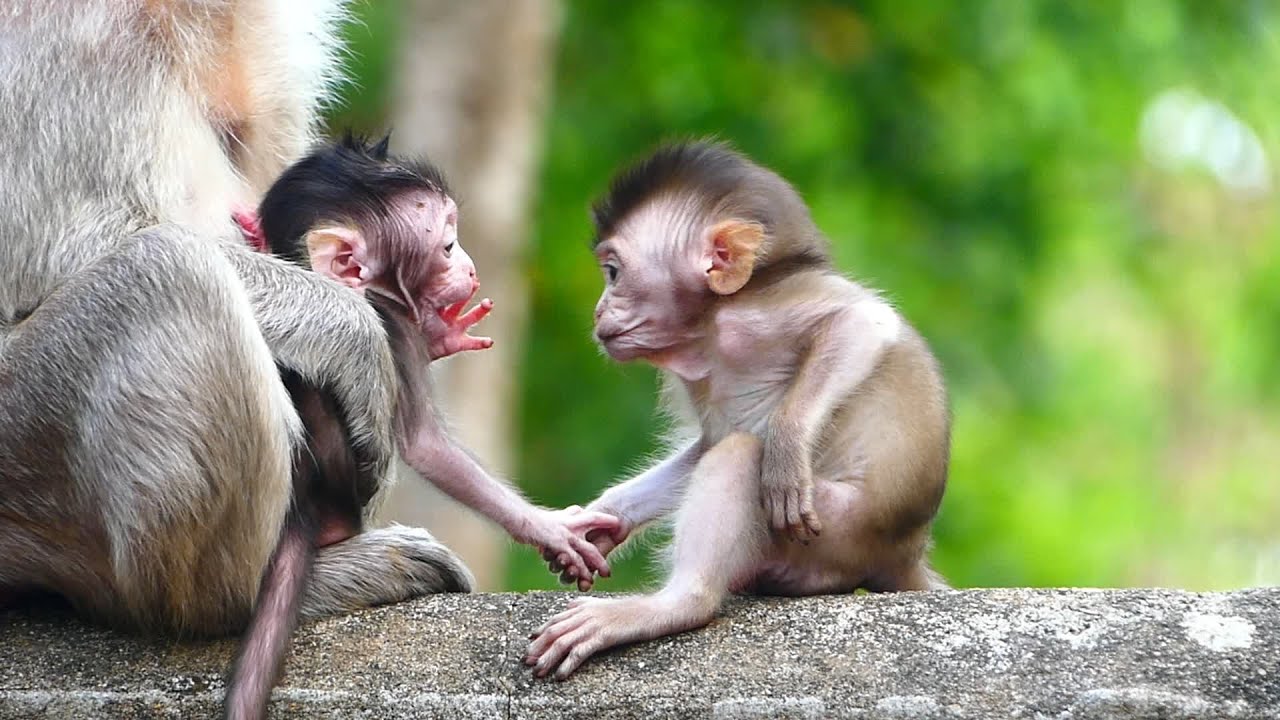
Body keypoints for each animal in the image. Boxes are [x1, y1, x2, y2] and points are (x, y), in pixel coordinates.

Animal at [0, 0, 473, 704]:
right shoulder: (67, 38)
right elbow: (69, 249)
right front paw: (361, 340)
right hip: (26, 450)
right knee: (169, 272)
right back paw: (254, 601)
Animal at [525, 140, 952, 679]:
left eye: (614, 273)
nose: (599, 309)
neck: (707, 326)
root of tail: (901, 554)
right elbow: (709, 441)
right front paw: (600, 521)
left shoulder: (756, 316)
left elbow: (862, 321)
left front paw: (787, 449)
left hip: (838, 529)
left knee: (744, 455)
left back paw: (675, 605)